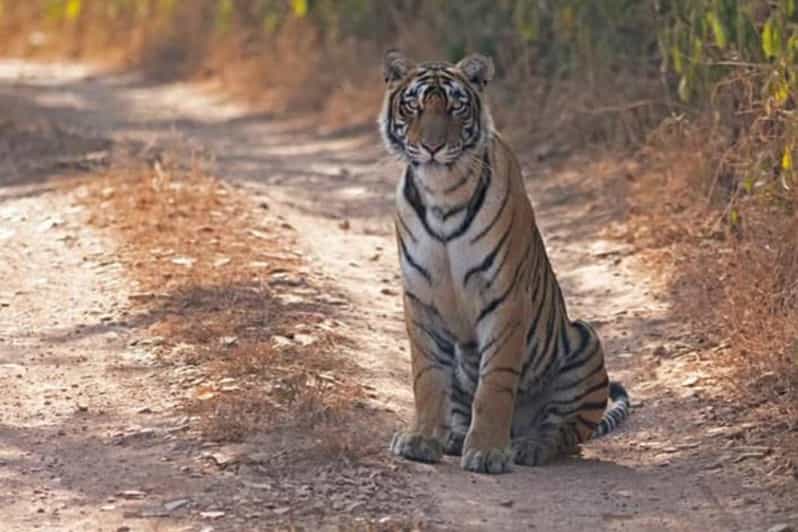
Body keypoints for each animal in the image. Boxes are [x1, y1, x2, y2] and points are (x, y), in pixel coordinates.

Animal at [378, 50, 631, 474]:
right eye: (413, 105)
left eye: (455, 106)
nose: (431, 146)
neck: (441, 190)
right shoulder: (420, 296)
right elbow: (427, 376)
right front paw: (421, 440)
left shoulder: (505, 296)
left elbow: (495, 383)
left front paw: (487, 452)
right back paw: (454, 437)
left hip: (585, 344)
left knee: (563, 435)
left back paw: (526, 446)